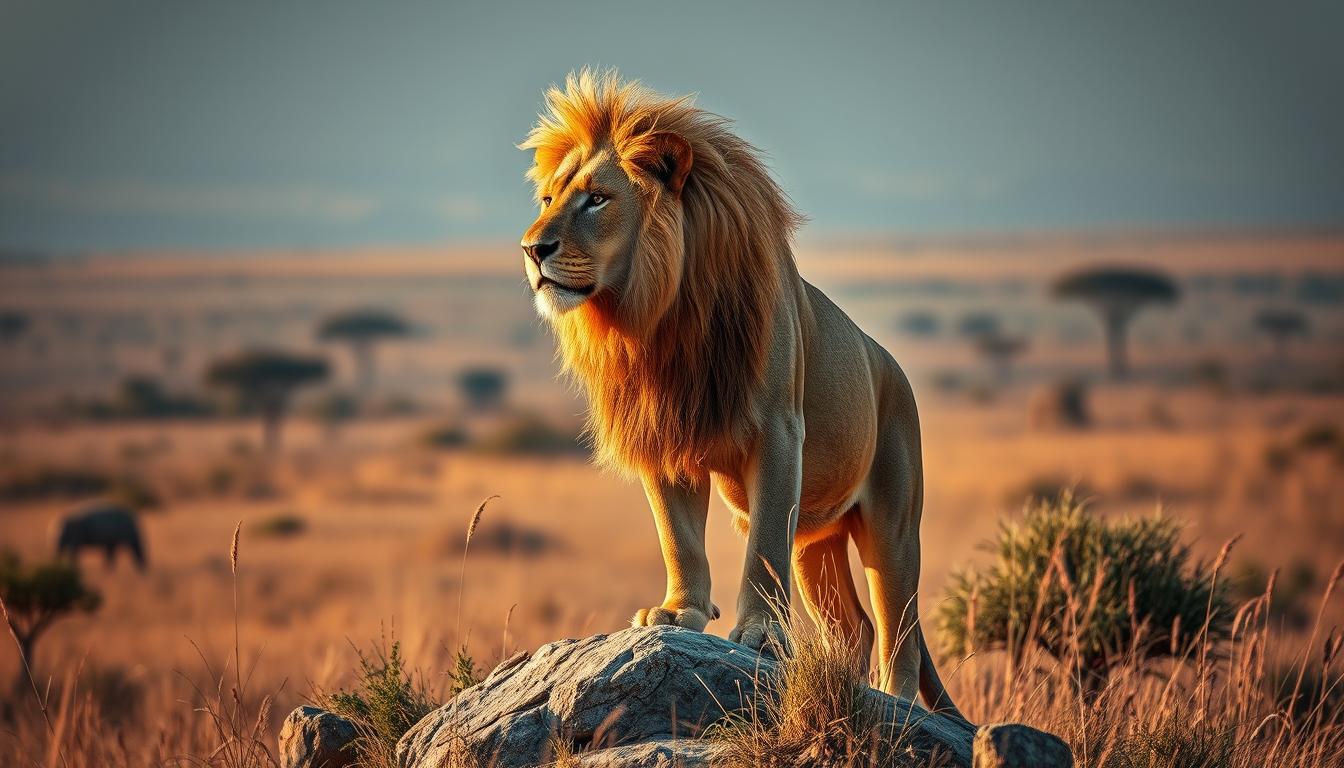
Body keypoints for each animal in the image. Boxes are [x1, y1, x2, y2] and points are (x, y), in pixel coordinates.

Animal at [518, 70, 961, 715]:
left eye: (597, 199)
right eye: (549, 200)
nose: (532, 250)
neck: (662, 315)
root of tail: (889, 364)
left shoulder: (778, 431)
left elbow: (763, 548)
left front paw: (762, 634)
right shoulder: (664, 433)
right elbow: (677, 537)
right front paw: (678, 612)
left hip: (895, 522)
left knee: (897, 624)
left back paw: (894, 698)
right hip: (818, 541)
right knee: (853, 624)